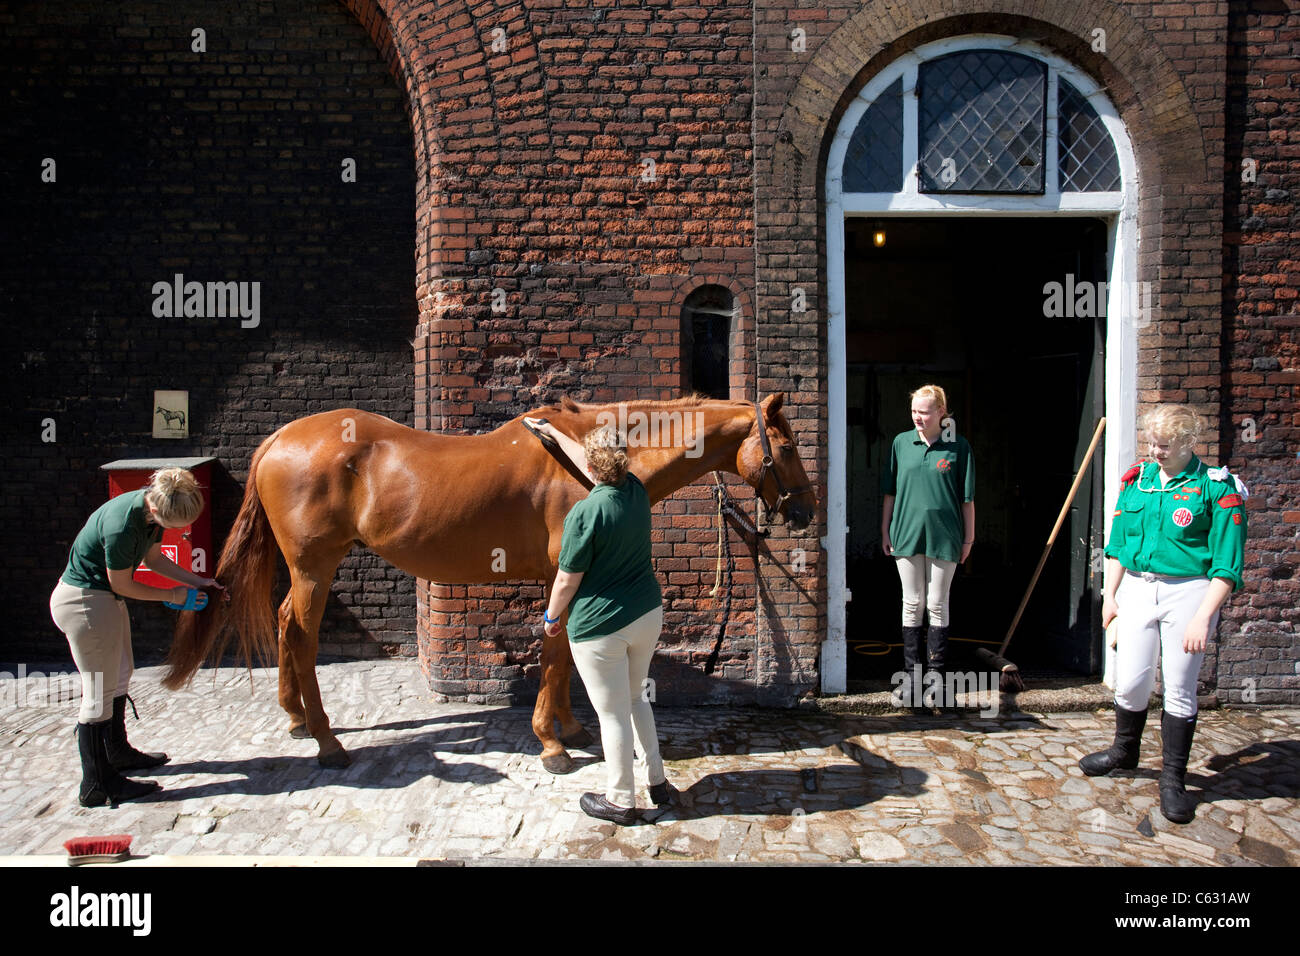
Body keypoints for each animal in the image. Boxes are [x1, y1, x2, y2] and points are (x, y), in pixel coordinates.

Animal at [162, 393, 817, 773]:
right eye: (786, 445)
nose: (806, 511)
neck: (582, 459)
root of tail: (282, 437)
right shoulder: (563, 575)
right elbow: (554, 653)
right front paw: (553, 744)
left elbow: (562, 656)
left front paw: (570, 728)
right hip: (313, 567)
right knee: (300, 637)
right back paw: (327, 743)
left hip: (305, 571)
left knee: (283, 626)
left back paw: (296, 719)